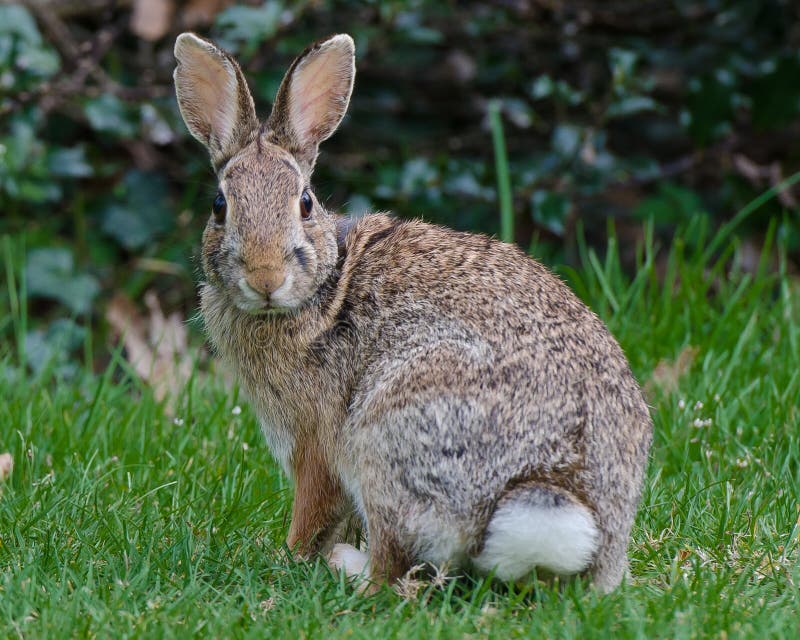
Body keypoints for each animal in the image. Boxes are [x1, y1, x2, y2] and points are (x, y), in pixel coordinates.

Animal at [173, 32, 652, 594]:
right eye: (219, 206)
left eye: (306, 203)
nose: (265, 278)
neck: (322, 289)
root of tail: (553, 491)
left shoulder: (316, 441)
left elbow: (314, 507)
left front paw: (286, 556)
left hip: (385, 436)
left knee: (392, 570)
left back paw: (348, 570)